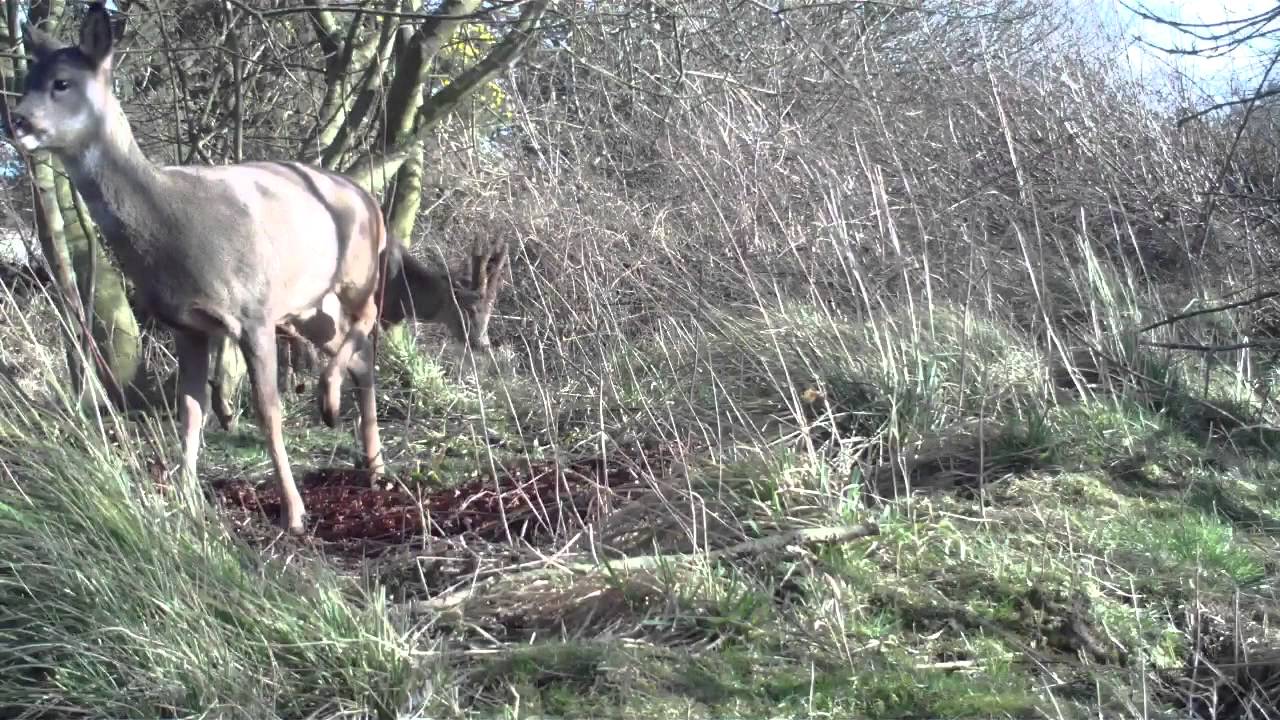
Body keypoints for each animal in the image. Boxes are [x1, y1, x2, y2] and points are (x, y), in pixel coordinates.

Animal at [8, 3, 507, 534]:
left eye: (61, 82)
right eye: (27, 78)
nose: (15, 120)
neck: (171, 225)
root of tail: (367, 197)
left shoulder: (253, 312)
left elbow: (268, 410)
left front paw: (294, 511)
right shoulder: (186, 324)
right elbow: (192, 410)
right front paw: (185, 498)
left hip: (354, 274)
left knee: (369, 321)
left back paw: (331, 405)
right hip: (310, 309)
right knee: (361, 355)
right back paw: (371, 462)